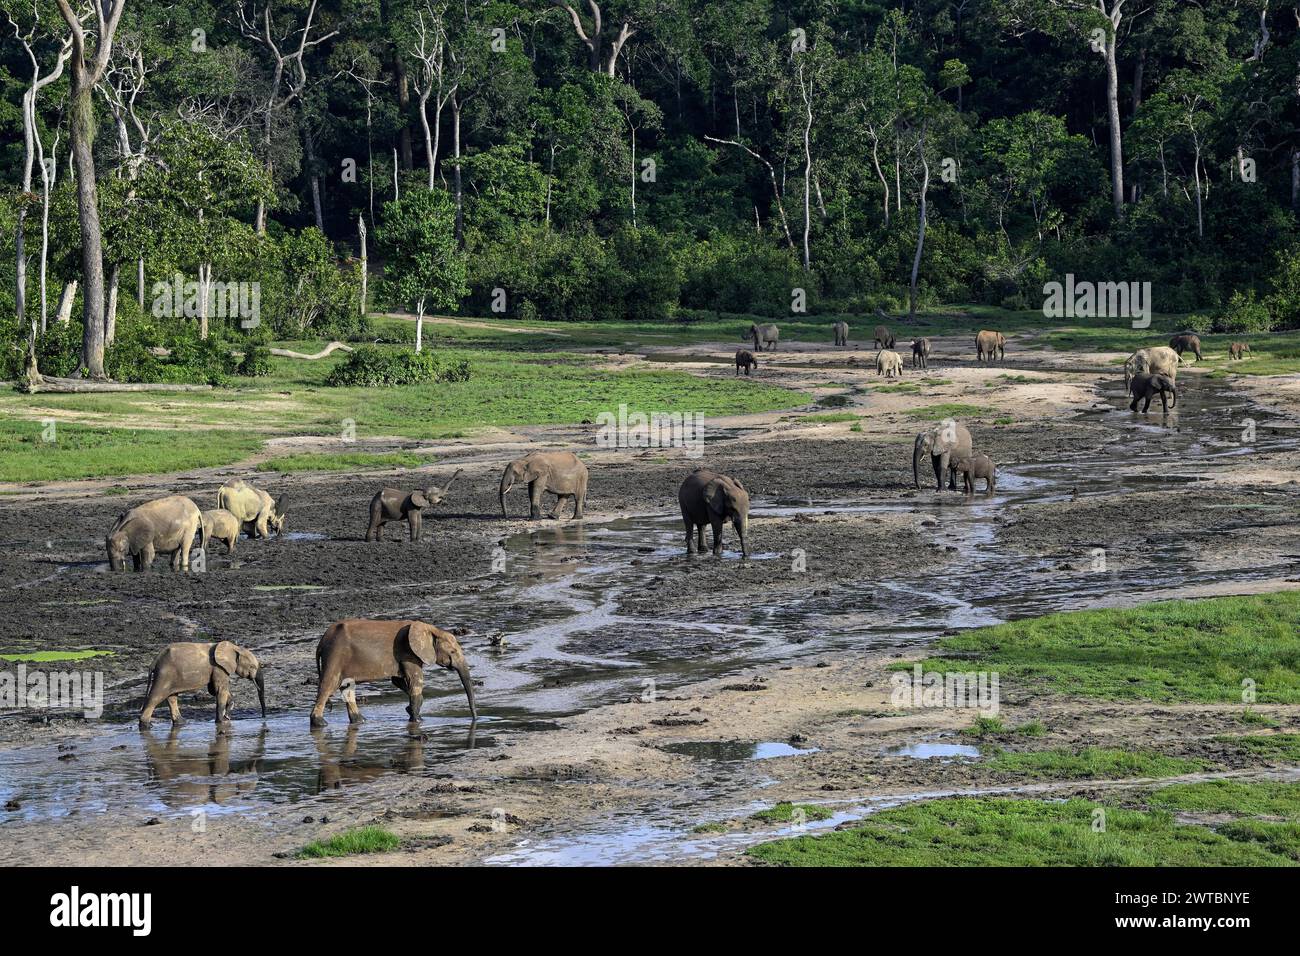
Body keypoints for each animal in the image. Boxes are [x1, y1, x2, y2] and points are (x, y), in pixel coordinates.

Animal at [309, 619, 475, 727]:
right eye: (453, 652)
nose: (474, 719)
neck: (431, 629)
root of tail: (322, 641)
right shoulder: (408, 652)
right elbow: (416, 681)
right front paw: (417, 720)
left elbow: (399, 681)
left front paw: (411, 711)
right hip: (335, 655)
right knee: (328, 686)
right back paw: (320, 723)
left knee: (347, 689)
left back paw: (360, 721)